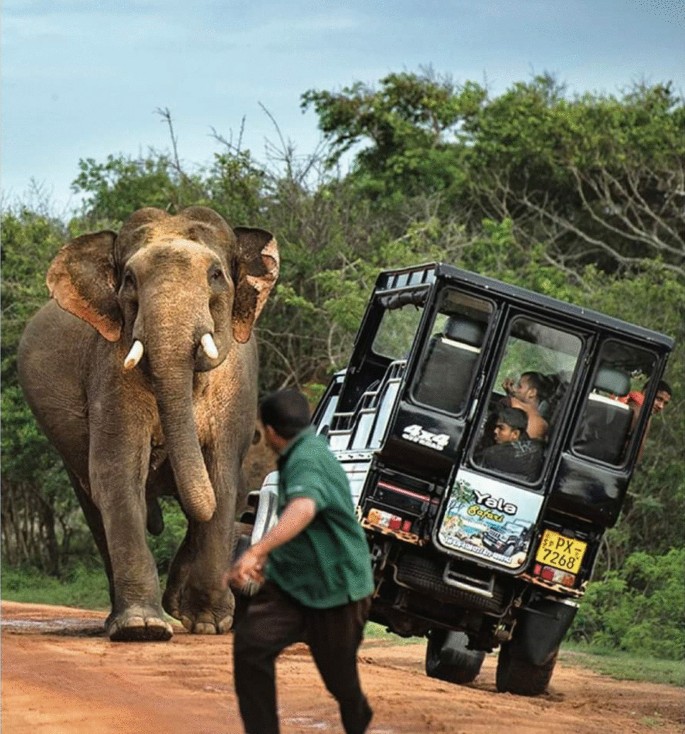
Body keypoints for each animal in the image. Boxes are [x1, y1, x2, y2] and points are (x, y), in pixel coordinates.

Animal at [17, 206, 279, 642]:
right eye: (128, 280)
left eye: (216, 275)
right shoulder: (110, 367)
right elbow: (118, 471)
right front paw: (143, 629)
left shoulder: (237, 382)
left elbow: (222, 477)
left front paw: (208, 625)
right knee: (93, 501)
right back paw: (124, 619)